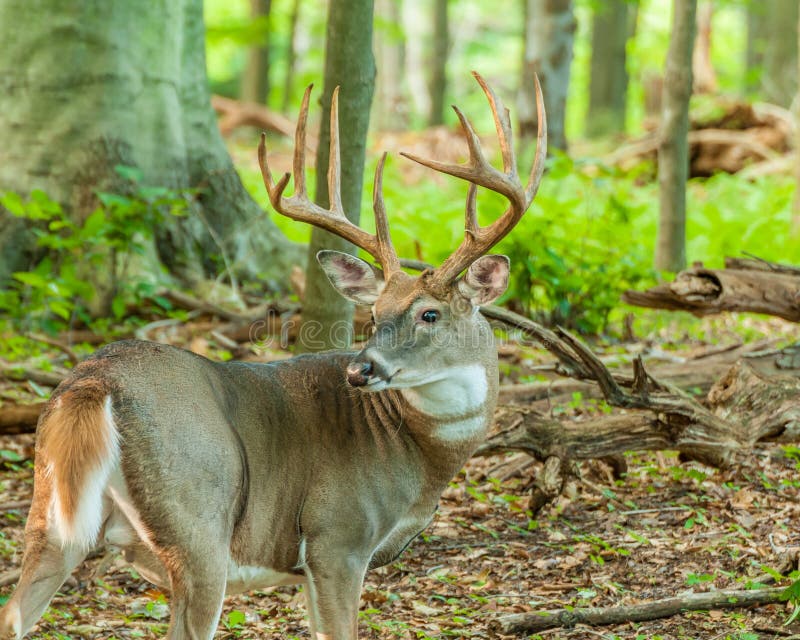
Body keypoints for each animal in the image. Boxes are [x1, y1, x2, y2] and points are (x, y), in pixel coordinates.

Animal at [0, 72, 546, 640]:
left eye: (429, 314)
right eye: (375, 314)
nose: (361, 369)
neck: (416, 452)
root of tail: (95, 382)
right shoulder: (337, 538)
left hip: (49, 516)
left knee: (12, 613)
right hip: (200, 523)